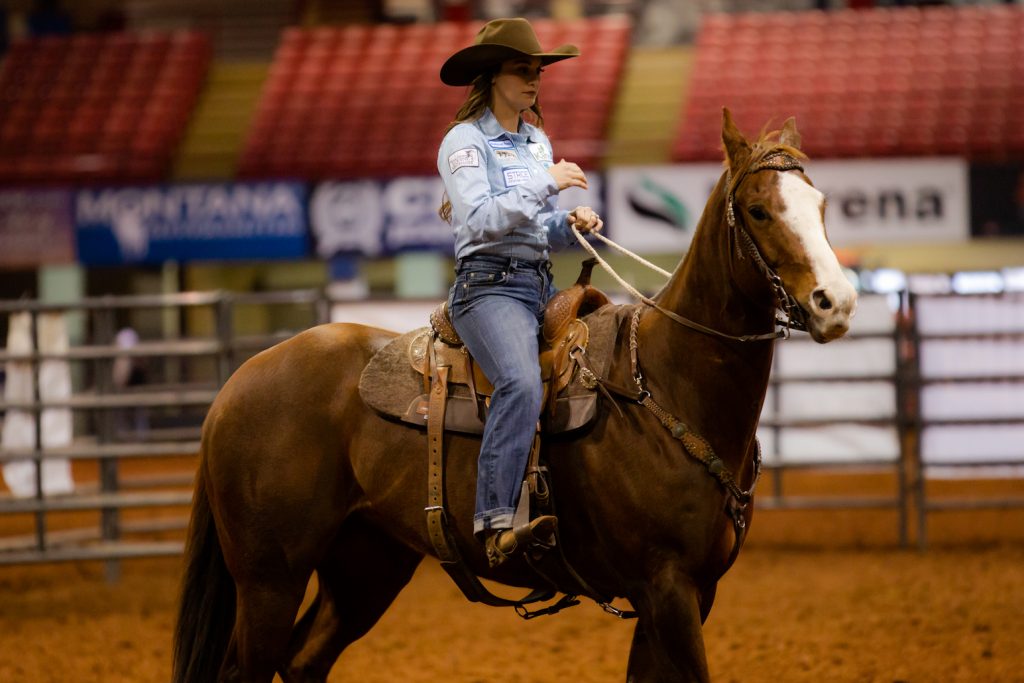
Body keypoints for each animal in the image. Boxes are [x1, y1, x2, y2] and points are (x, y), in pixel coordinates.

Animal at [172, 109, 857, 683]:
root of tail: (238, 383)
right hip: (269, 578)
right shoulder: (667, 586)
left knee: (304, 660)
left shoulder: (689, 592)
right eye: (760, 210)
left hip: (366, 564)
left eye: (821, 204)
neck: (665, 385)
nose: (837, 302)